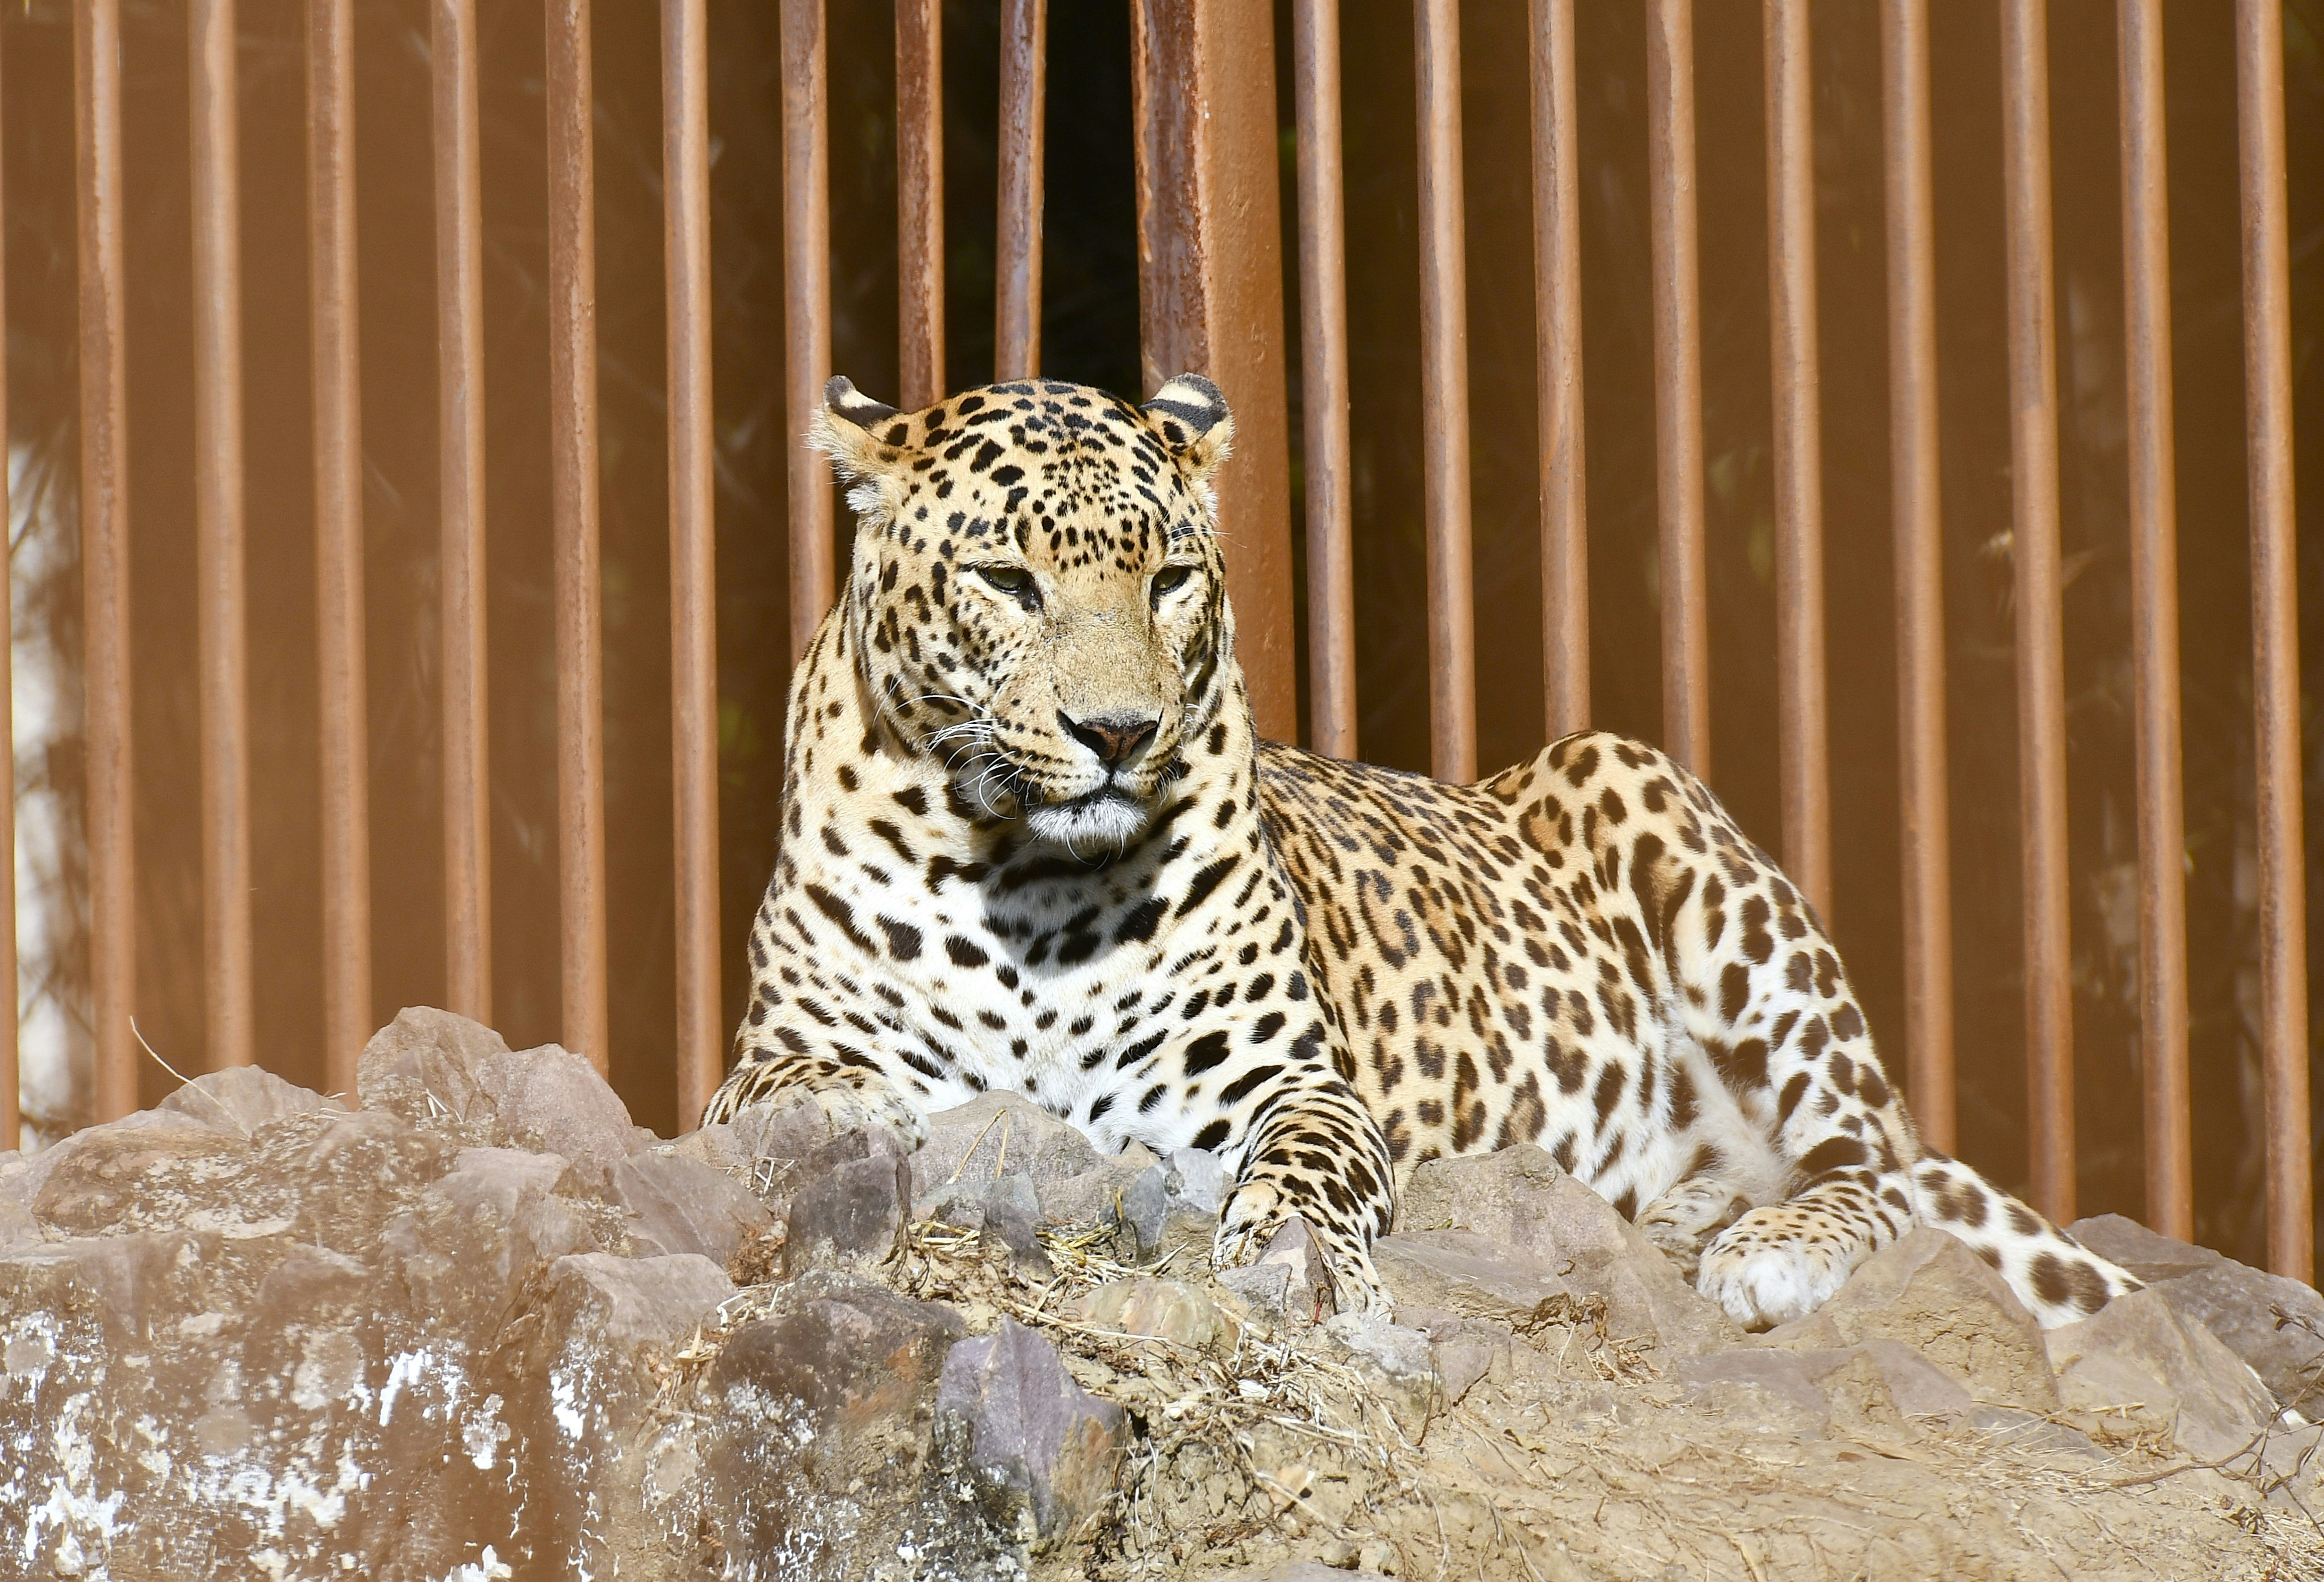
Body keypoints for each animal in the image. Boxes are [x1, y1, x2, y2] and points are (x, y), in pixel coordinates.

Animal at [703, 369, 2140, 1333]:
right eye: (1006, 580)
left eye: (1169, 578)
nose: (1118, 733)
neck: (1024, 882)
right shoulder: (767, 1048)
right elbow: (789, 1088)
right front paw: (874, 1116)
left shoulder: (1287, 1080)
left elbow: (1305, 1167)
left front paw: (1294, 1264)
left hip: (1642, 793)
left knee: (1873, 1164)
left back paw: (1766, 1247)